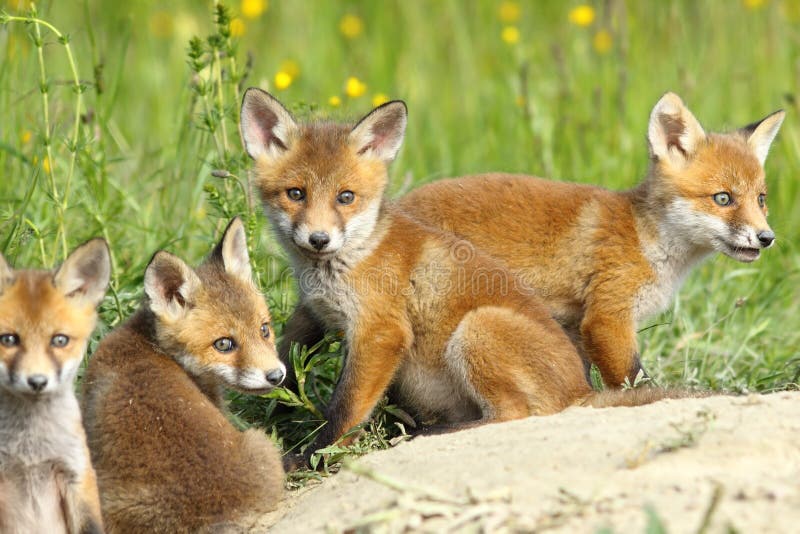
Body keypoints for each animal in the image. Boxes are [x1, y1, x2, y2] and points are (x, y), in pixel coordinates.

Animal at [239, 89, 691, 465]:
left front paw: (311, 458)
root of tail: (583, 390)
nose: (319, 239)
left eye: (345, 197)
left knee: (514, 414)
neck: (350, 260)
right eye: (295, 194)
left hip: (477, 328)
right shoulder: (324, 317)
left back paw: (432, 432)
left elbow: (344, 411)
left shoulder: (380, 332)